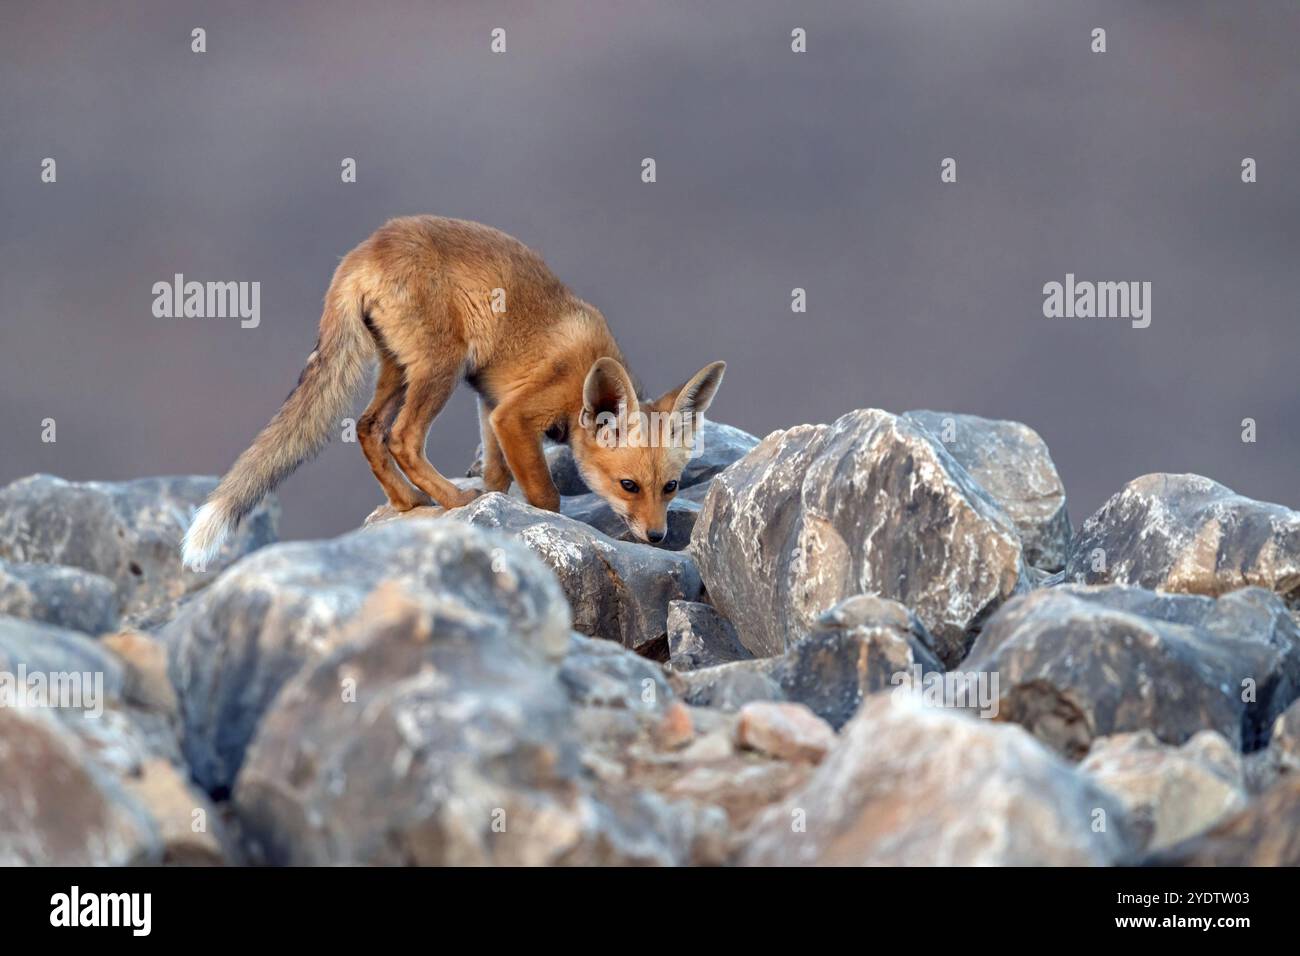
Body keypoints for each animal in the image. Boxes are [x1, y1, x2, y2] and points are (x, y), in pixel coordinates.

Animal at [181, 216, 726, 570]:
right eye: (628, 486)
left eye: (671, 487)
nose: (656, 535)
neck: (580, 379)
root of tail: (364, 250)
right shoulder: (514, 414)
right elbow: (545, 497)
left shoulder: (490, 404)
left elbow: (497, 475)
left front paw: (493, 500)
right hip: (439, 368)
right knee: (401, 437)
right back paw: (450, 499)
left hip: (398, 369)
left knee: (368, 428)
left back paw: (408, 501)